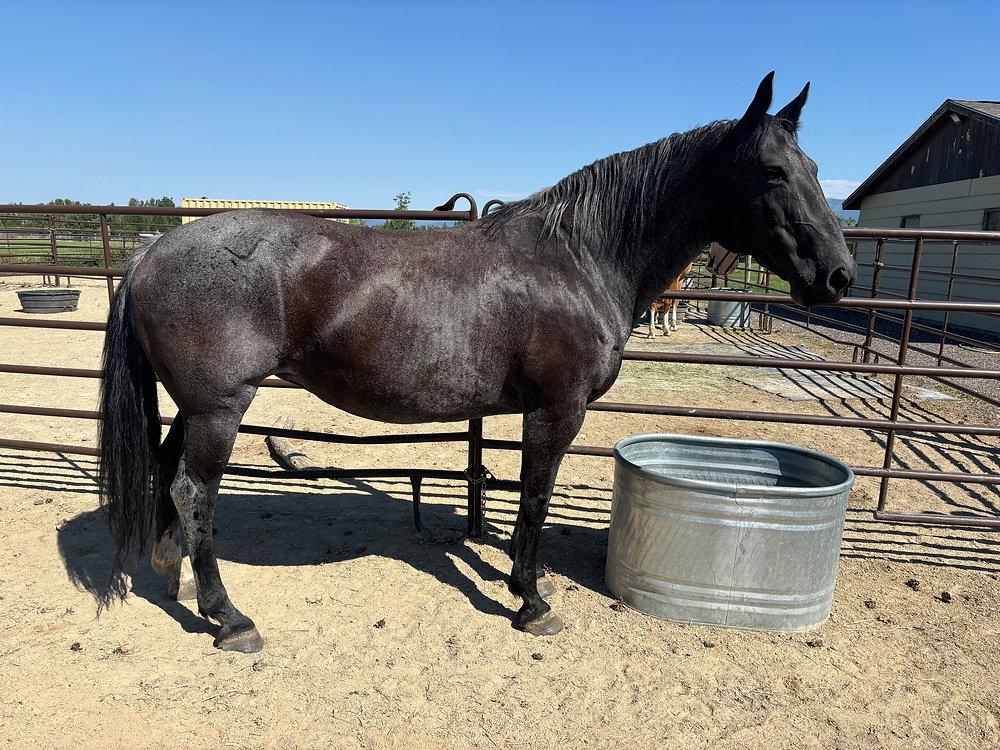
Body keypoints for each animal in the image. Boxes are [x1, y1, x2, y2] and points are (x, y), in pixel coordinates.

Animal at [98, 73, 856, 653]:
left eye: (819, 170)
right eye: (773, 172)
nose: (839, 276)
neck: (579, 258)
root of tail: (153, 250)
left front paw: (524, 585)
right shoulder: (556, 409)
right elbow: (536, 495)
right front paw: (530, 601)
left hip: (199, 406)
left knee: (169, 474)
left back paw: (174, 572)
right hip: (222, 407)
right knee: (195, 490)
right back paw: (229, 619)